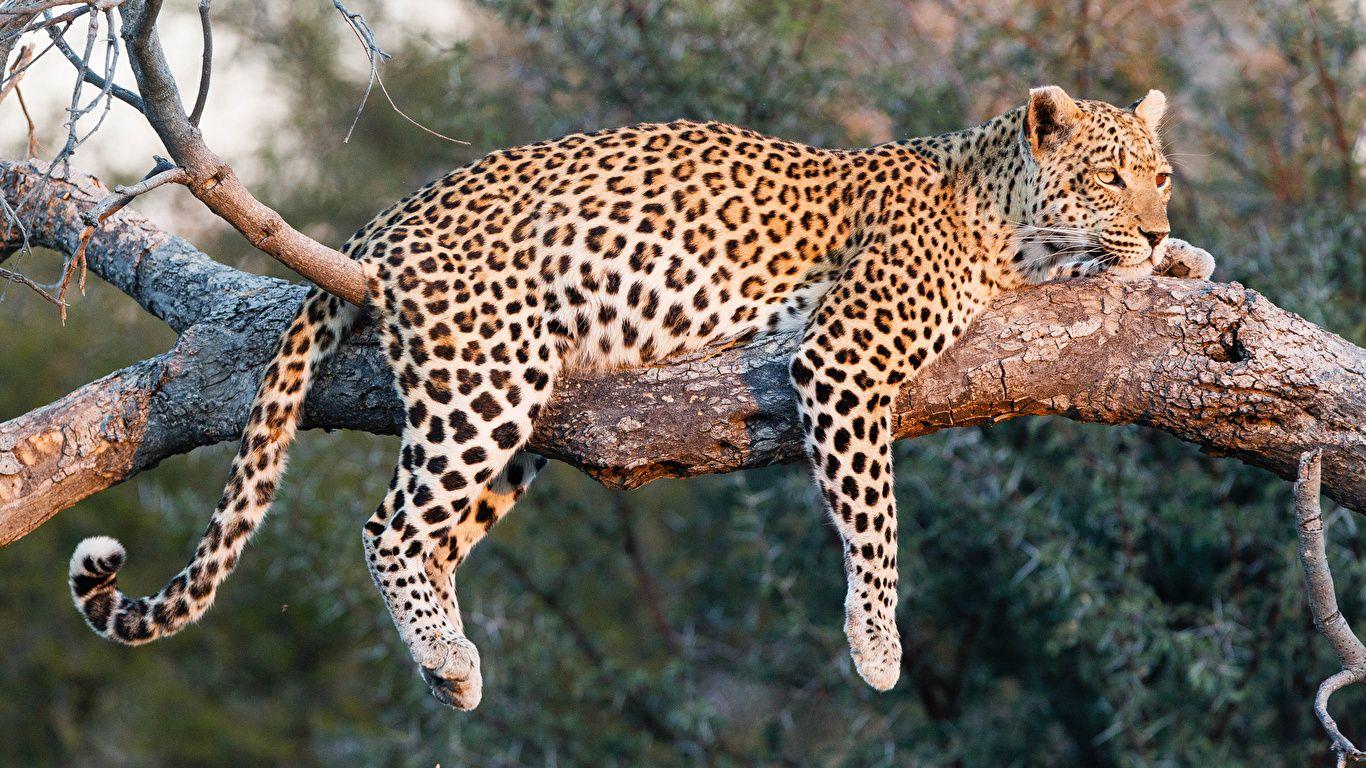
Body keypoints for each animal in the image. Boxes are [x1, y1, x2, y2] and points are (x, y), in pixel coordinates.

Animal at [67, 85, 1216, 710]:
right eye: (1109, 176)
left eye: (1159, 176)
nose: (1161, 221)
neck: (1004, 213)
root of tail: (382, 223)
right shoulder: (843, 360)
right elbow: (876, 519)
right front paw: (878, 643)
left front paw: (1182, 260)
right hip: (488, 376)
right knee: (388, 527)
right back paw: (444, 651)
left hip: (518, 417)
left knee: (430, 535)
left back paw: (450, 665)